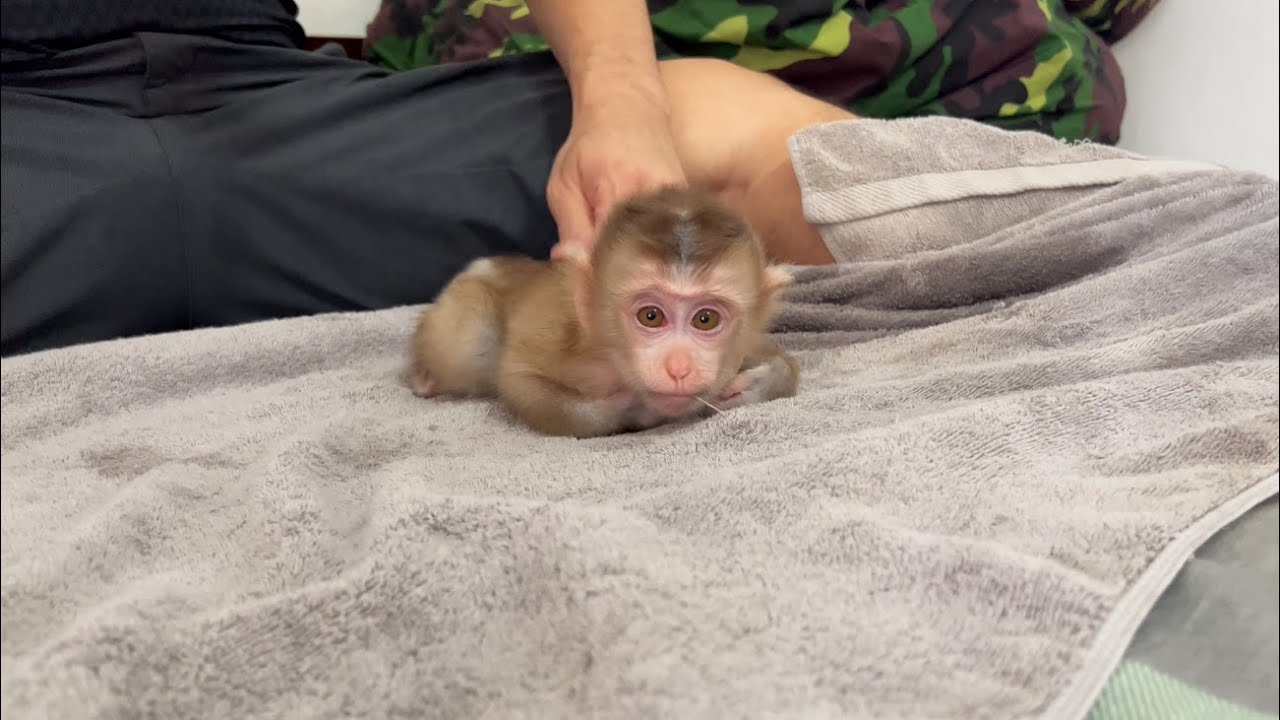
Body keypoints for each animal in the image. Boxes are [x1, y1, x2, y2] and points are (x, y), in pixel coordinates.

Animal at [407, 186, 800, 438]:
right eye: (651, 316)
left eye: (706, 319)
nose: (679, 368)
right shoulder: (565, 336)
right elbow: (520, 380)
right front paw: (624, 410)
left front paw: (763, 383)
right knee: (466, 346)